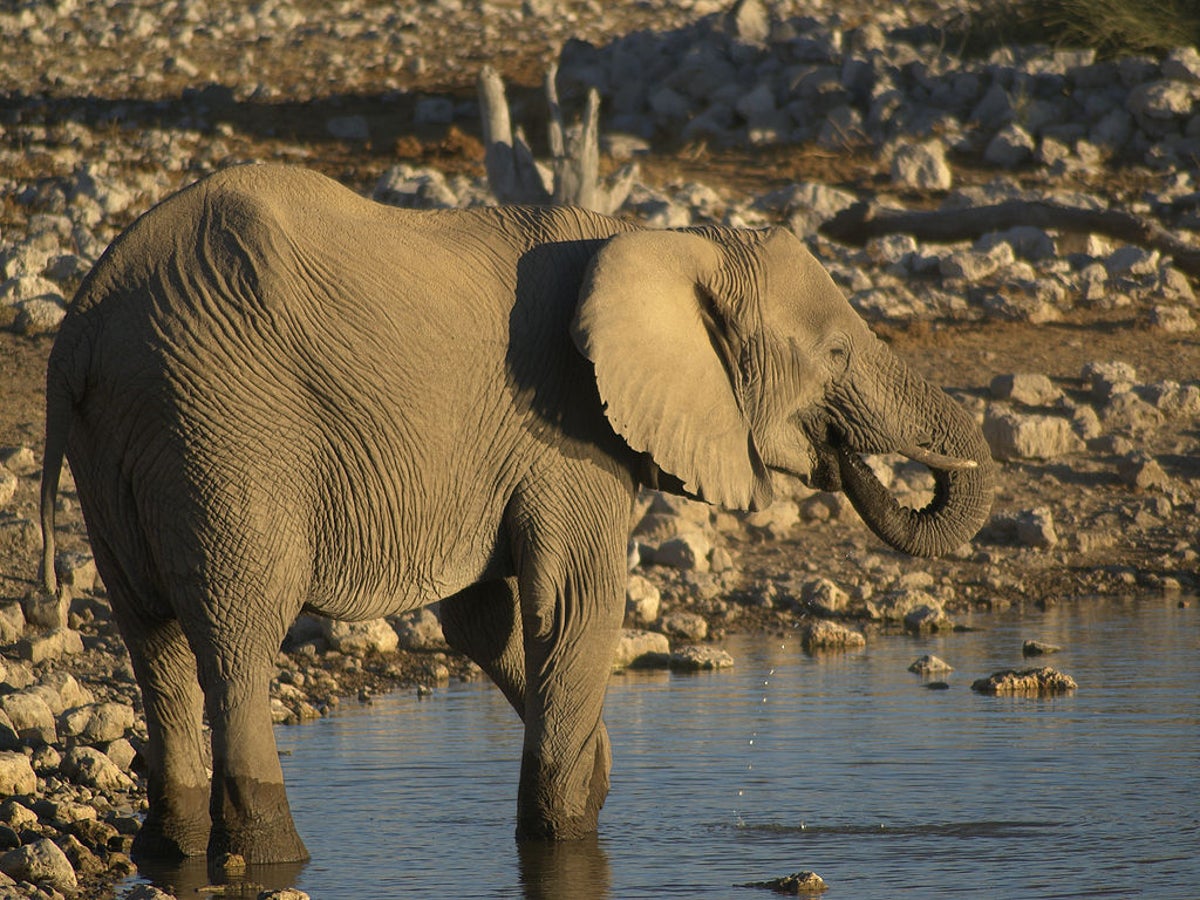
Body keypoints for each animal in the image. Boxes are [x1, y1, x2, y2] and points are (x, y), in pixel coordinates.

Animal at [39, 163, 994, 864]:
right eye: (833, 354)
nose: (847, 458)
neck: (667, 242)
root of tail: (78, 333)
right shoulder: (566, 426)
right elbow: (576, 603)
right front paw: (566, 829)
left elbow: (481, 619)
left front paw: (595, 767)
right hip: (224, 432)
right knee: (238, 640)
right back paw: (278, 858)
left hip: (132, 446)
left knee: (153, 641)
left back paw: (168, 854)